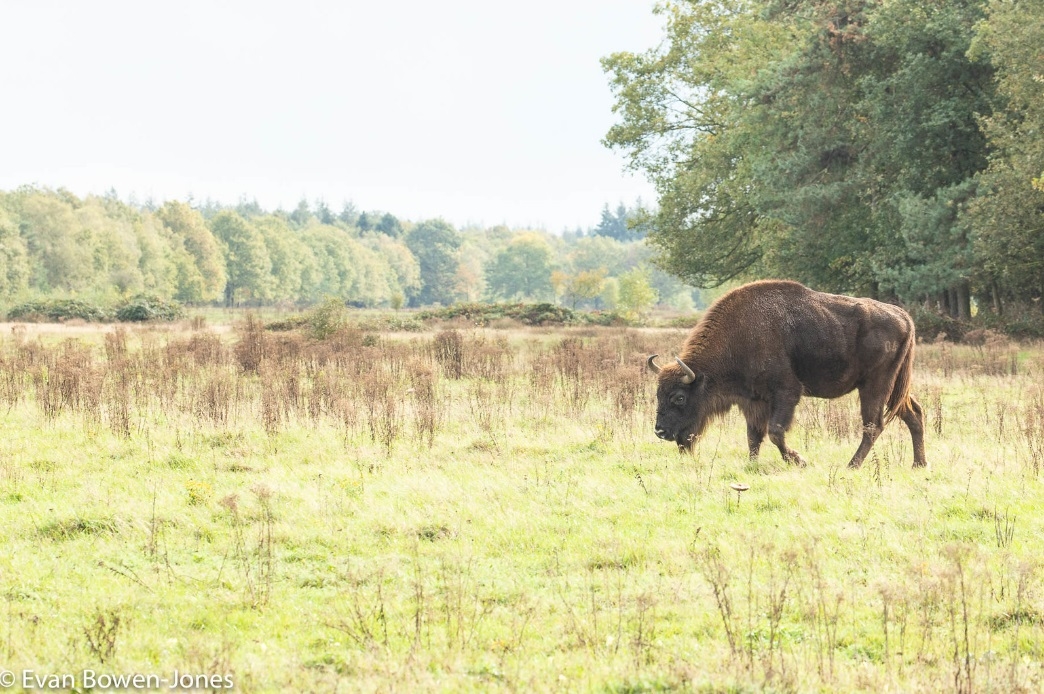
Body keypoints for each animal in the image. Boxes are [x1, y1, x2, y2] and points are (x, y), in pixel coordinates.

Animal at [648, 280, 926, 468]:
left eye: (679, 397)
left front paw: (799, 460)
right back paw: (919, 464)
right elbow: (754, 435)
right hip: (895, 388)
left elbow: (775, 431)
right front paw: (752, 465)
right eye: (657, 395)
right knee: (914, 413)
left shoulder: (786, 393)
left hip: (875, 385)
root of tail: (903, 316)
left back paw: (852, 466)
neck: (739, 335)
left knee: (873, 425)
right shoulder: (753, 400)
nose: (660, 431)